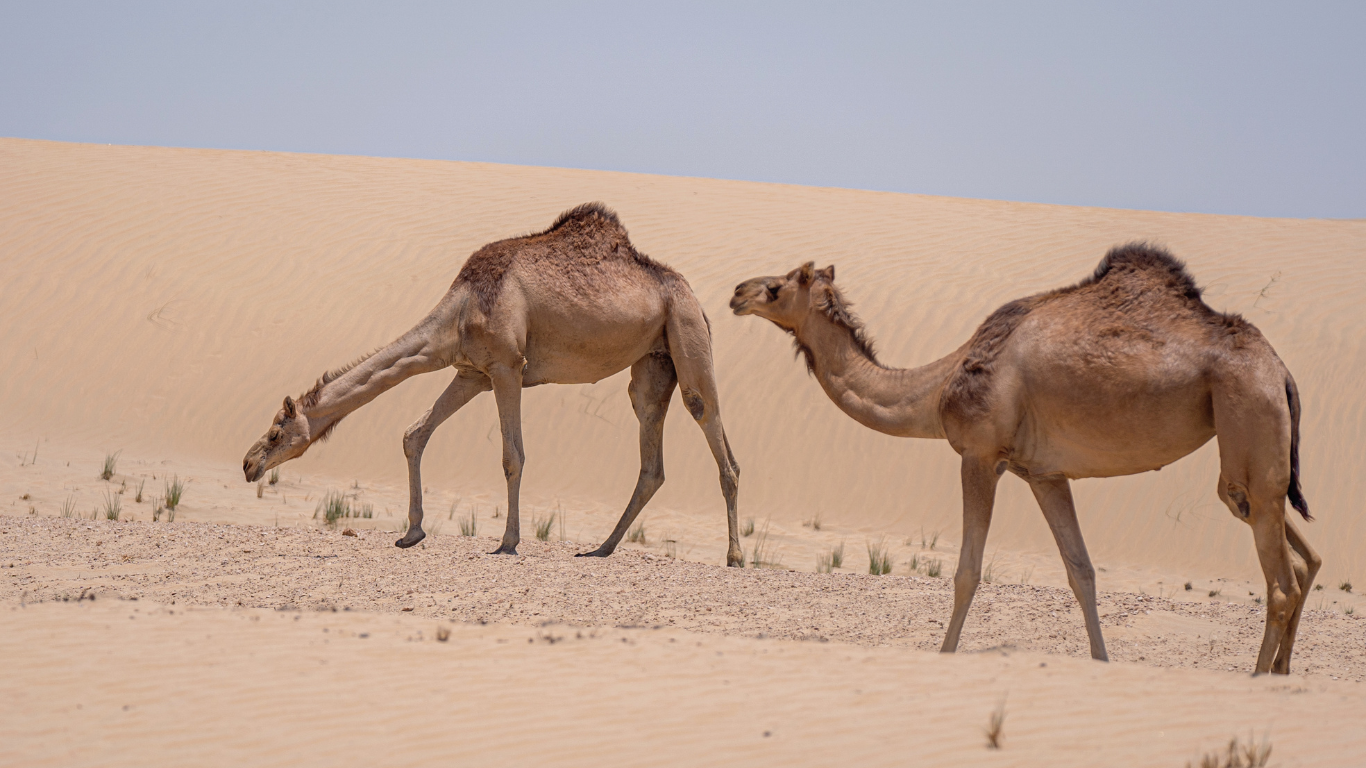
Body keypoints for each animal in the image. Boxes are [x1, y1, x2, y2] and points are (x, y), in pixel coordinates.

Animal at [243, 203, 743, 566]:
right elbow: (415, 434)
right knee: (651, 452)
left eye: (276, 433)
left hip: (685, 329)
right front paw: (411, 533)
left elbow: (511, 456)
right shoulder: (471, 373)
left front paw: (507, 542)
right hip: (653, 362)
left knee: (710, 425)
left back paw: (735, 556)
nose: (248, 464)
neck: (460, 311)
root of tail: (695, 297)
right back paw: (601, 548)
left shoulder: (507, 366)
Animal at [730, 245, 1319, 674]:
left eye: (778, 286)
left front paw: (945, 655)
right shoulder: (1044, 473)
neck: (937, 387)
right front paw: (1101, 663)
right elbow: (1081, 571)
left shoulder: (978, 454)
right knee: (1298, 557)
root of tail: (1283, 370)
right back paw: (1282, 672)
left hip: (1248, 415)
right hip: (1255, 456)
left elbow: (967, 571)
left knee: (1280, 581)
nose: (737, 291)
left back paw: (1257, 678)